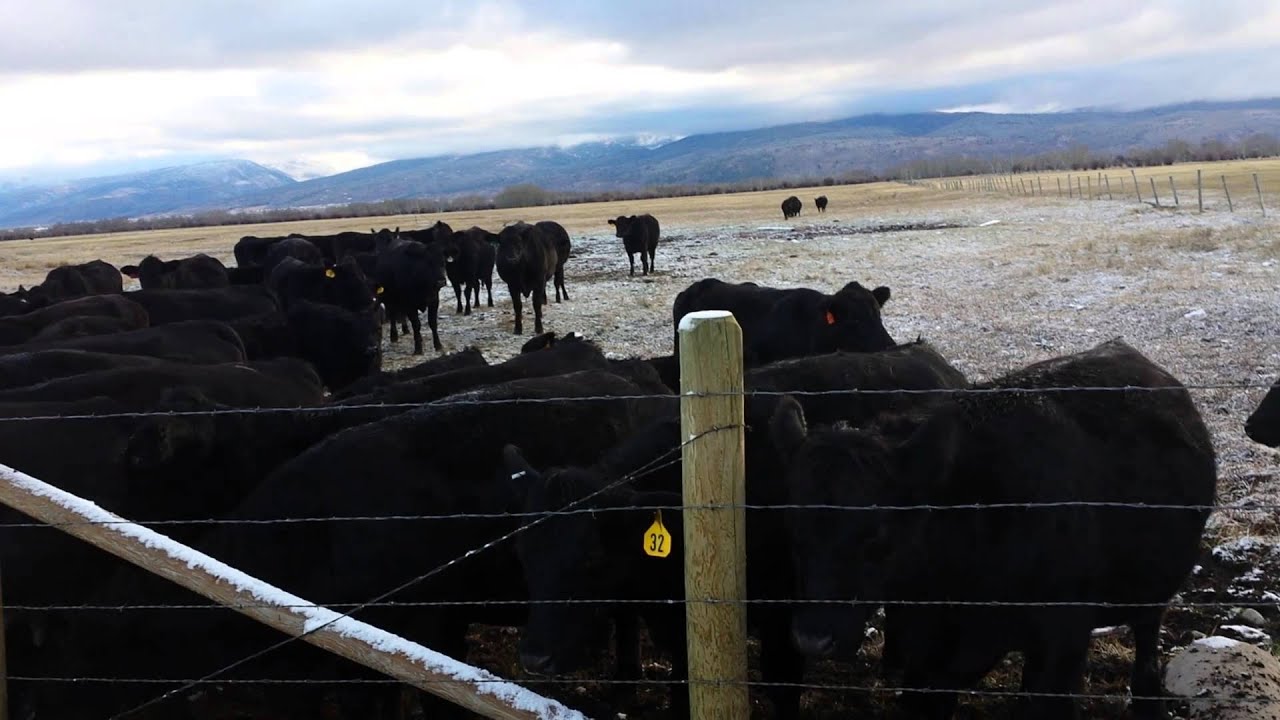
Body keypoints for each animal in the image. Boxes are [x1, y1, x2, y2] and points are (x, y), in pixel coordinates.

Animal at [770, 338, 1217, 719]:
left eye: (878, 534)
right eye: (793, 531)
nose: (812, 638)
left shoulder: (1062, 641)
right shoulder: (924, 653)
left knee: (1146, 633)